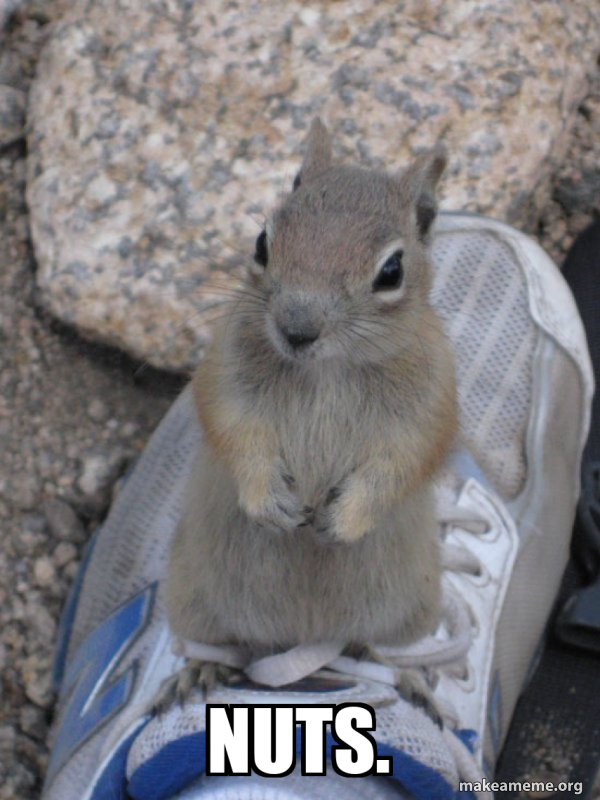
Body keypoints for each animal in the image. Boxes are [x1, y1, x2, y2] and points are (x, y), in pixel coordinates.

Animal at [161, 118, 458, 707]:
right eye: (262, 241)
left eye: (392, 271)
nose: (296, 328)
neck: (327, 370)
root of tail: (307, 634)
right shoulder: (226, 378)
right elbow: (237, 435)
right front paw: (269, 501)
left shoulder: (428, 408)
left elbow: (400, 464)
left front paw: (345, 519)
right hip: (191, 597)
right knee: (229, 646)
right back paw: (200, 671)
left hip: (412, 609)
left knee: (369, 645)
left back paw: (406, 678)